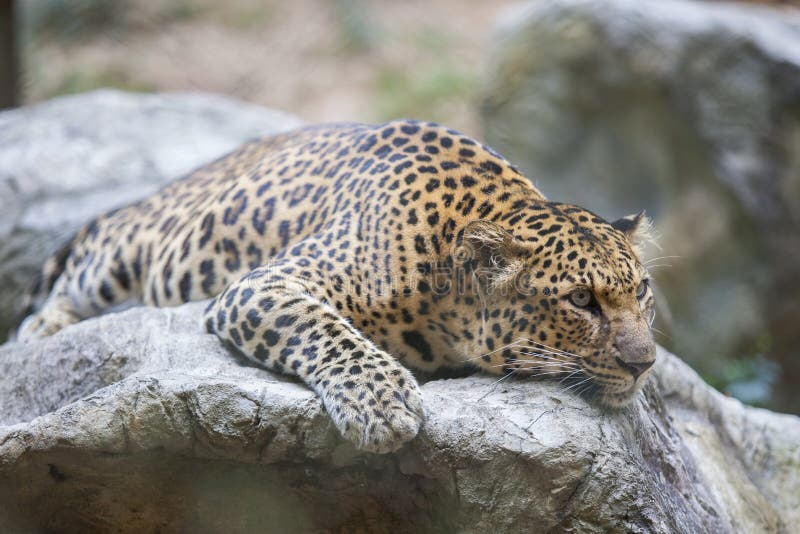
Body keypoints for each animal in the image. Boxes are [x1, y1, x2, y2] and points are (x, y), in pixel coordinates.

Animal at [17, 119, 657, 453]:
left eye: (643, 292)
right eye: (581, 300)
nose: (645, 363)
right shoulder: (262, 285)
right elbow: (325, 329)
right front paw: (383, 404)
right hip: (131, 248)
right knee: (77, 272)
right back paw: (38, 330)